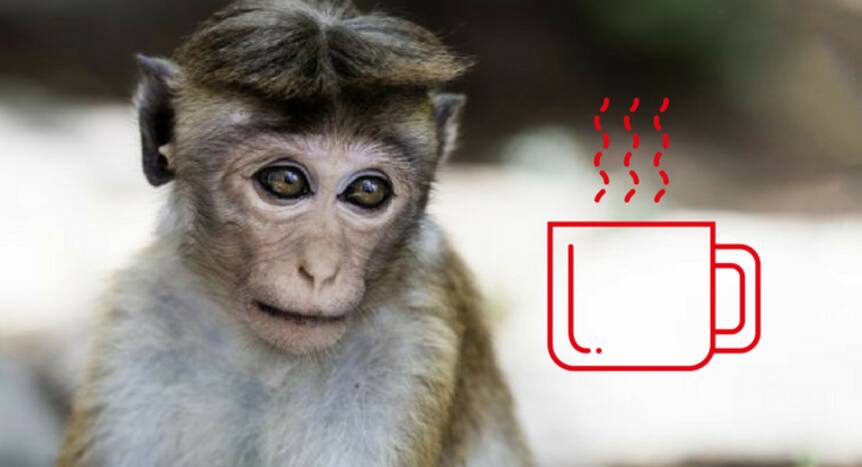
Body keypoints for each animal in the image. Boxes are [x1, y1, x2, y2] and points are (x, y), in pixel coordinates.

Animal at [58, 0, 534, 466]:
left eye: (367, 191)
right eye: (285, 181)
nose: (321, 271)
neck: (267, 360)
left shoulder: (404, 353)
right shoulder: (142, 319)